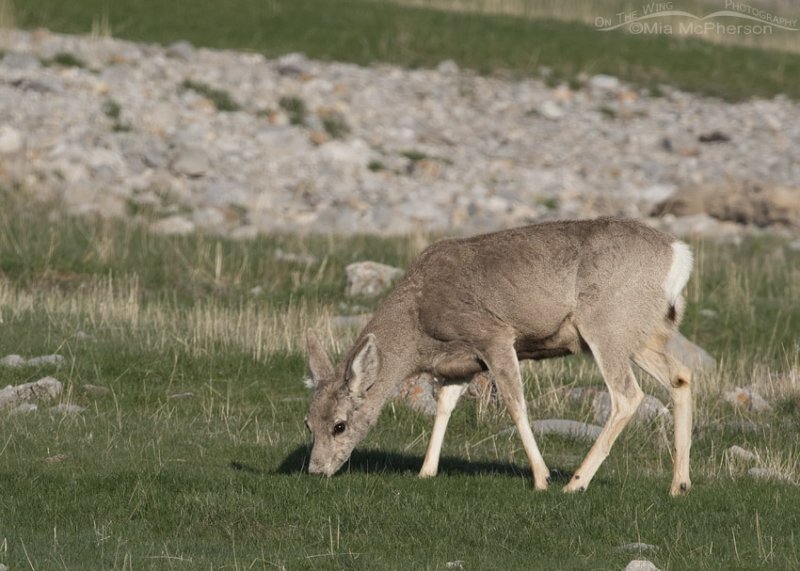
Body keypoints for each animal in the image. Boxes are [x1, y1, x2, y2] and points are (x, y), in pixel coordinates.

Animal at [305, 218, 694, 495]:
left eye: (339, 425)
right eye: (308, 423)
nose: (316, 470)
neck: (419, 327)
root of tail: (680, 254)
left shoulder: (493, 336)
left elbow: (515, 402)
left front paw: (541, 477)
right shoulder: (457, 364)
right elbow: (444, 407)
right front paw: (426, 471)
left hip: (606, 325)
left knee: (627, 395)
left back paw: (575, 482)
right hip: (641, 335)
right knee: (680, 376)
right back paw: (679, 484)